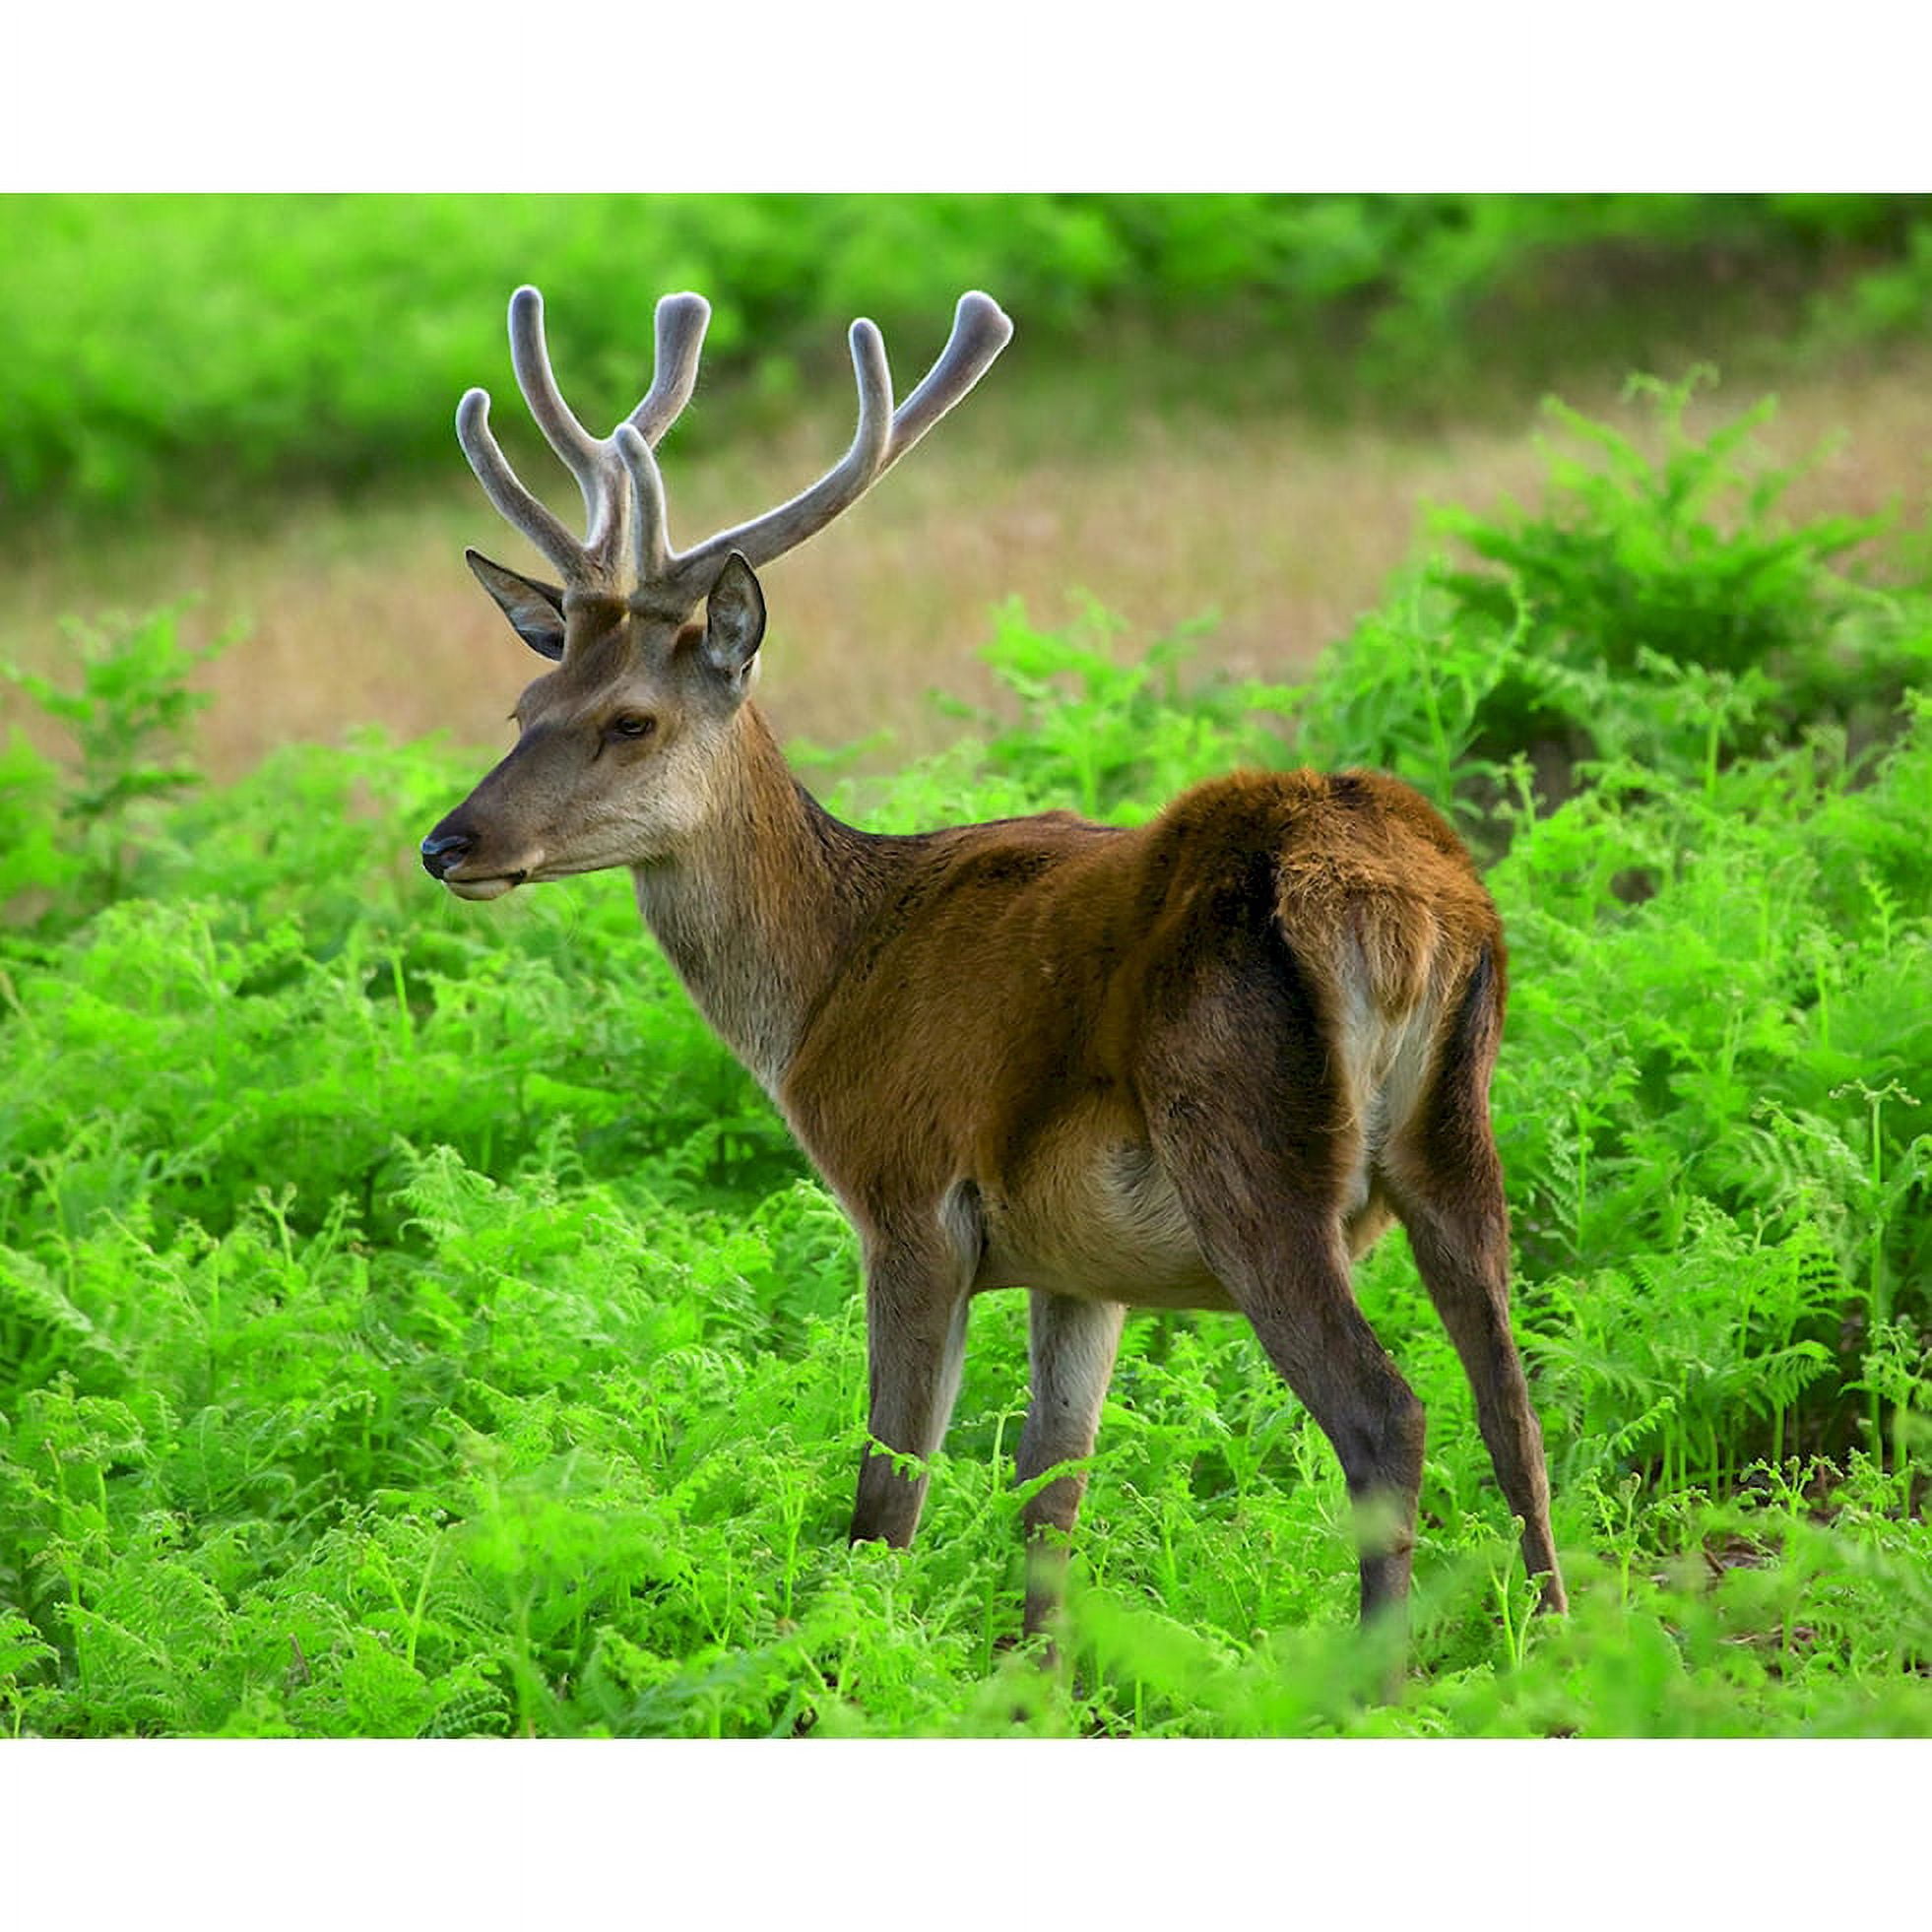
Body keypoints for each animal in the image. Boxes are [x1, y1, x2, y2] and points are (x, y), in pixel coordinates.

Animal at [420, 283, 1567, 1682]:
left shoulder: (909, 1196)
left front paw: (849, 1672)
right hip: (1455, 1132)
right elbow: (1048, 1497)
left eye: (630, 718)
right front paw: (1037, 1683)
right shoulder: (1079, 1261)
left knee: (1387, 1415)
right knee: (1516, 1412)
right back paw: (1566, 1648)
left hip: (1250, 1152)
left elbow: (885, 1502)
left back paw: (1373, 1683)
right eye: (526, 702)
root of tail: (1396, 900)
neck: (823, 989)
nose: (450, 844)